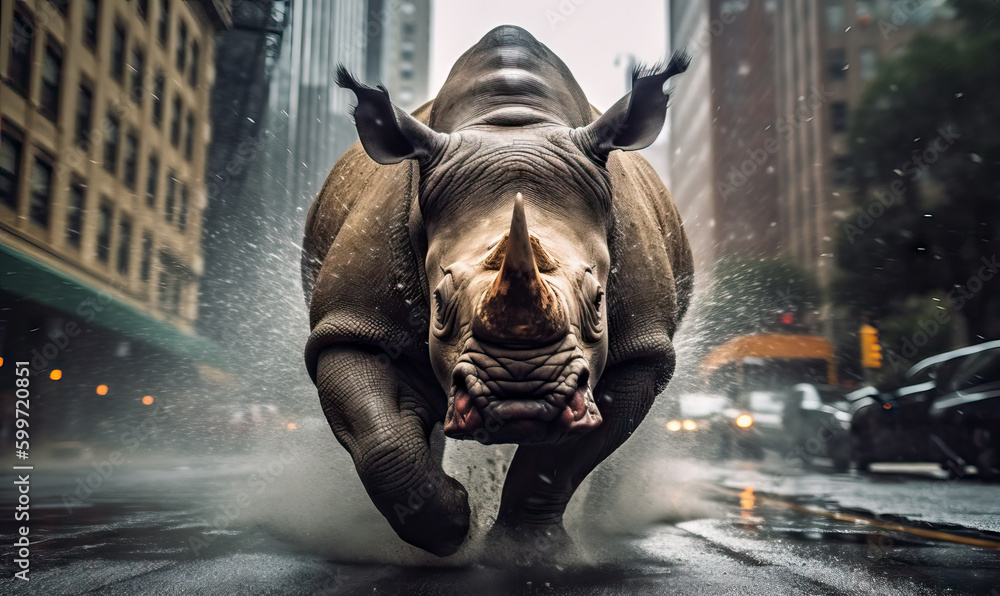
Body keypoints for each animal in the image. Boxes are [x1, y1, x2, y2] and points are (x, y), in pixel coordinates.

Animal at [301, 25, 692, 558]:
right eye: (438, 303)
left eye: (598, 299)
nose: (519, 397)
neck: (510, 124)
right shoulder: (354, 323)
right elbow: (382, 440)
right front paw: (451, 526)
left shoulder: (641, 349)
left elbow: (558, 464)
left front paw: (527, 555)